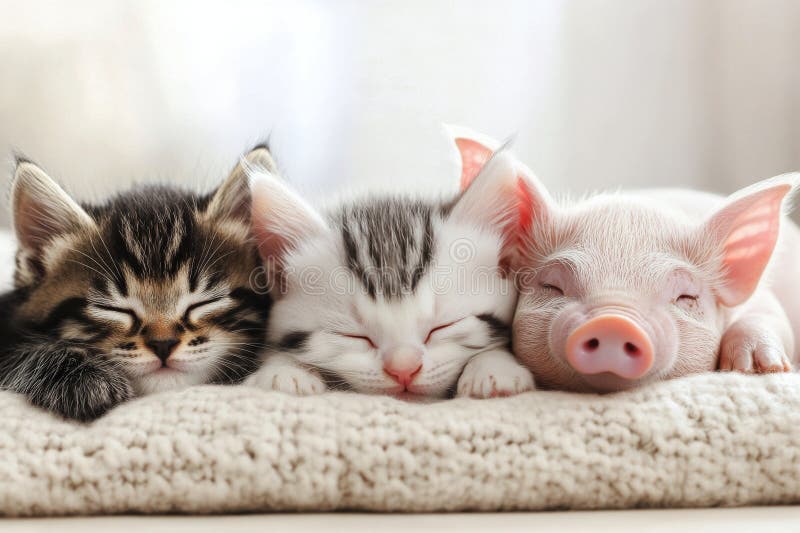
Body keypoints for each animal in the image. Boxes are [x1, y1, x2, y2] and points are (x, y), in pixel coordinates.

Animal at [448, 125, 800, 392]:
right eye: (551, 286)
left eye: (686, 297)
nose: (613, 322)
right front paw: (490, 387)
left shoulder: (761, 301)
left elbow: (766, 317)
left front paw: (757, 369)